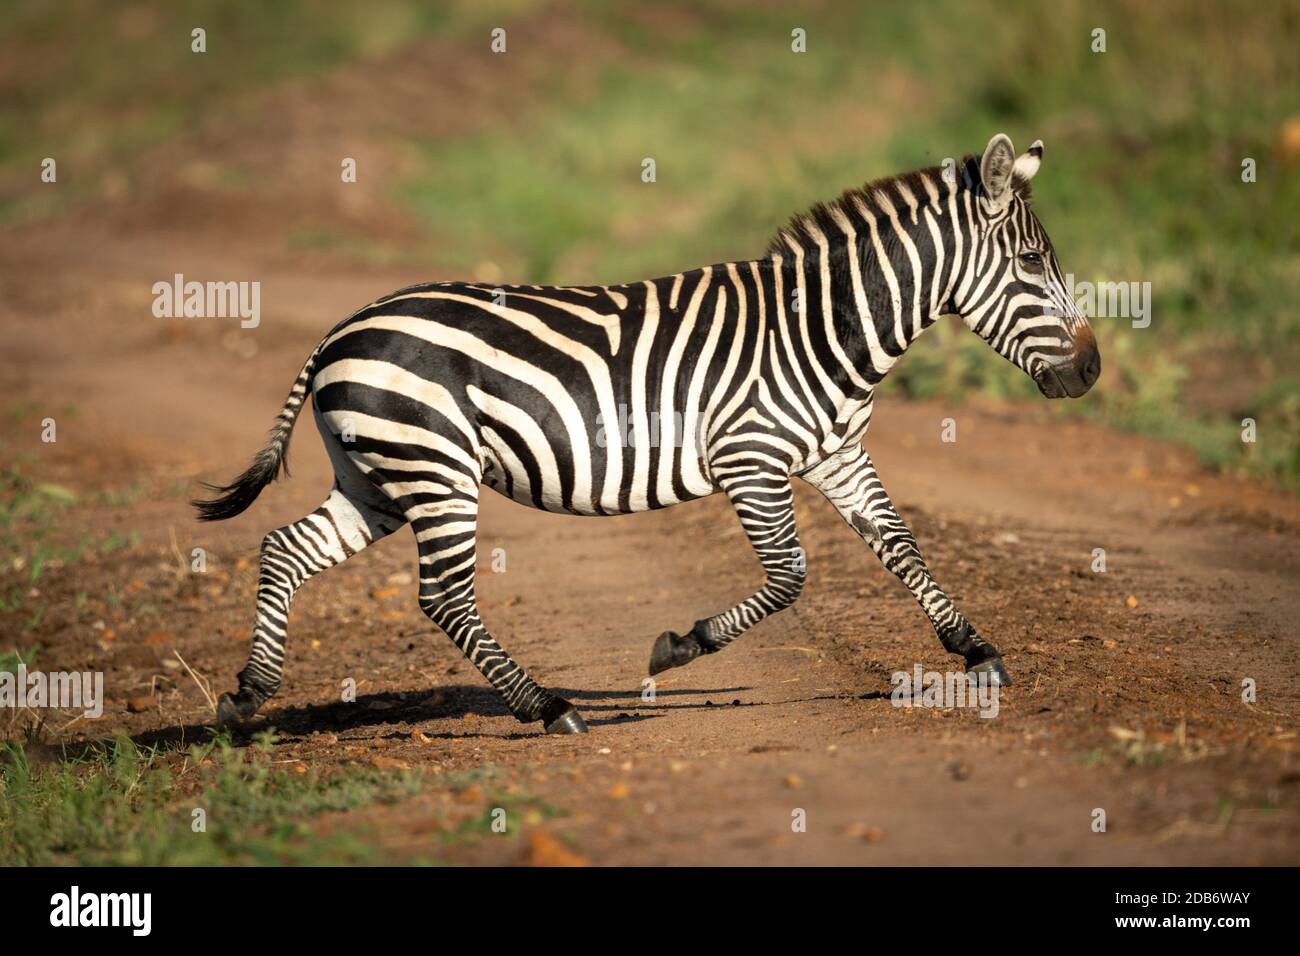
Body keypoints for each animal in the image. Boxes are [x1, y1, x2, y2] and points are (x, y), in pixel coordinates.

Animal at [196, 133, 1099, 735]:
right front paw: (677, 648)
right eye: (1030, 264)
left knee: (284, 549)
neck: (823, 330)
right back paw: (546, 706)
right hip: (434, 469)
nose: (1091, 373)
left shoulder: (838, 454)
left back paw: (248, 694)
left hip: (379, 475)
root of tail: (342, 328)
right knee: (444, 596)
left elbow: (902, 547)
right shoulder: (750, 459)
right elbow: (790, 577)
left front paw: (975, 649)